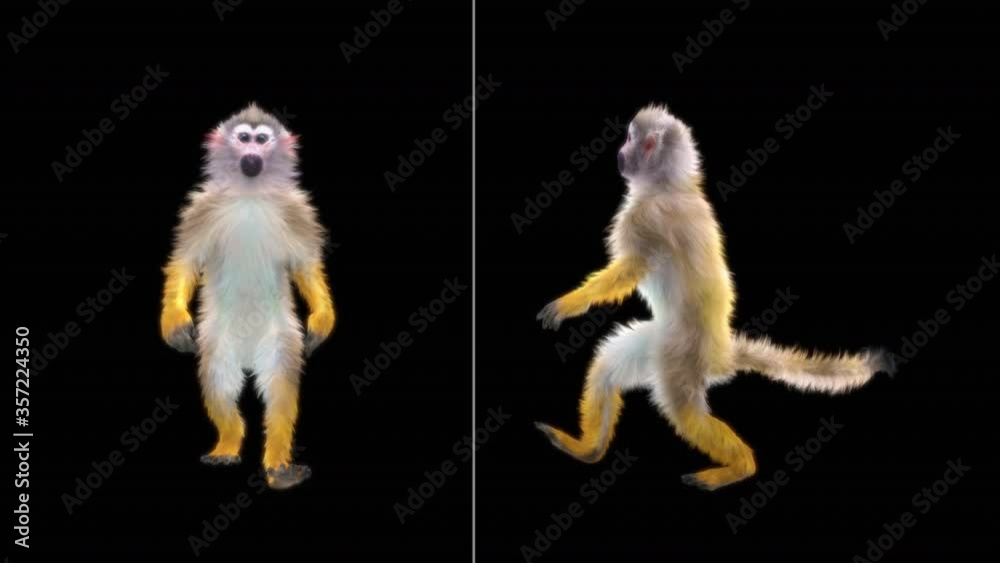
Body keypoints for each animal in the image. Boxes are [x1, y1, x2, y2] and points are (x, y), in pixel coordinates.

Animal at [160, 103, 335, 490]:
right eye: (243, 138)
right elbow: (184, 263)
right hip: (218, 342)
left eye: (261, 139)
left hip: (279, 337)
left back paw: (278, 464)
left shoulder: (297, 209)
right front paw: (173, 319)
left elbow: (306, 266)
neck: (250, 195)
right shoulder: (202, 207)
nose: (252, 154)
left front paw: (322, 318)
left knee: (280, 388)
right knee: (218, 381)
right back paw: (229, 440)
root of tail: (248, 358)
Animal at [536, 103, 894, 490]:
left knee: (681, 408)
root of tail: (719, 353)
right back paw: (589, 449)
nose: (620, 153)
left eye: (631, 139)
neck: (669, 186)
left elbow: (630, 270)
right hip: (662, 346)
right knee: (609, 367)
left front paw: (572, 303)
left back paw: (740, 467)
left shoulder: (645, 219)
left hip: (682, 353)